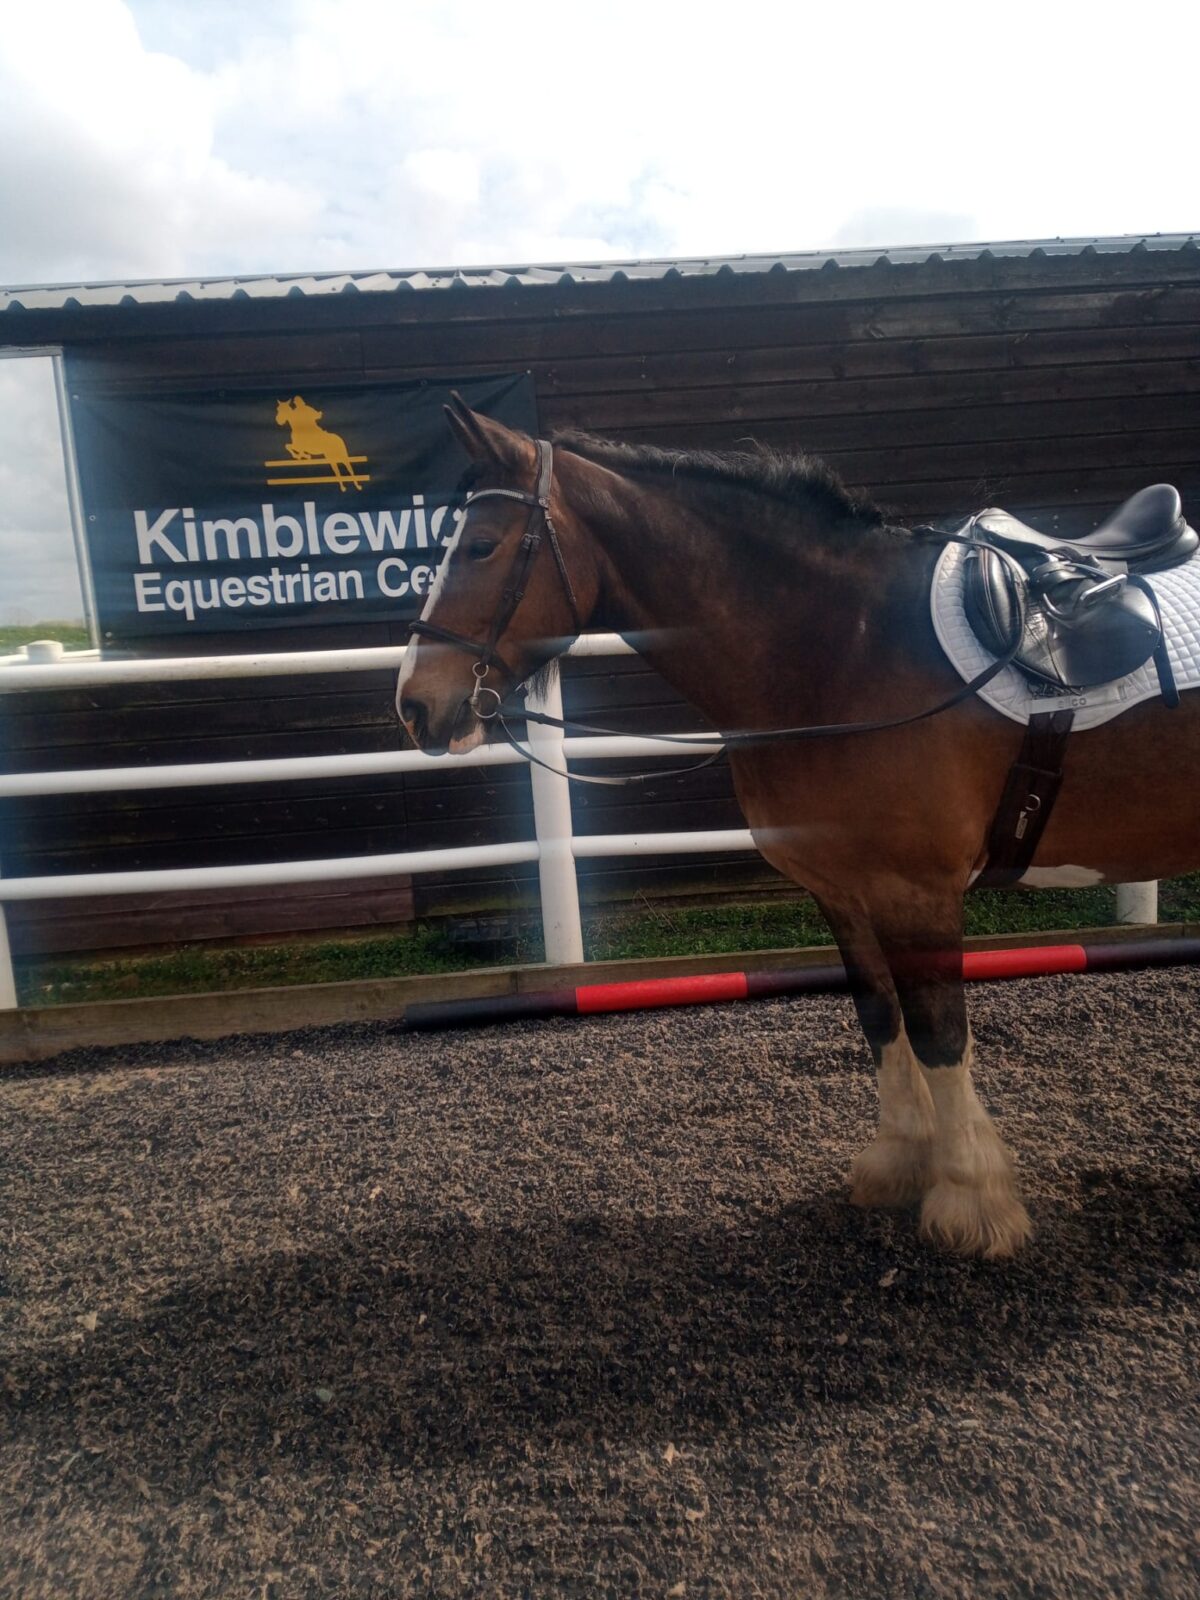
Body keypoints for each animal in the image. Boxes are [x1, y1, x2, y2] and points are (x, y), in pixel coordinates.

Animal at [395, 395, 1200, 1259]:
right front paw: (899, 1161)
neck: (843, 647)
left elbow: (938, 1032)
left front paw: (970, 1198)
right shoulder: (843, 891)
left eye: (480, 545)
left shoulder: (917, 893)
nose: (414, 703)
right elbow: (881, 1017)